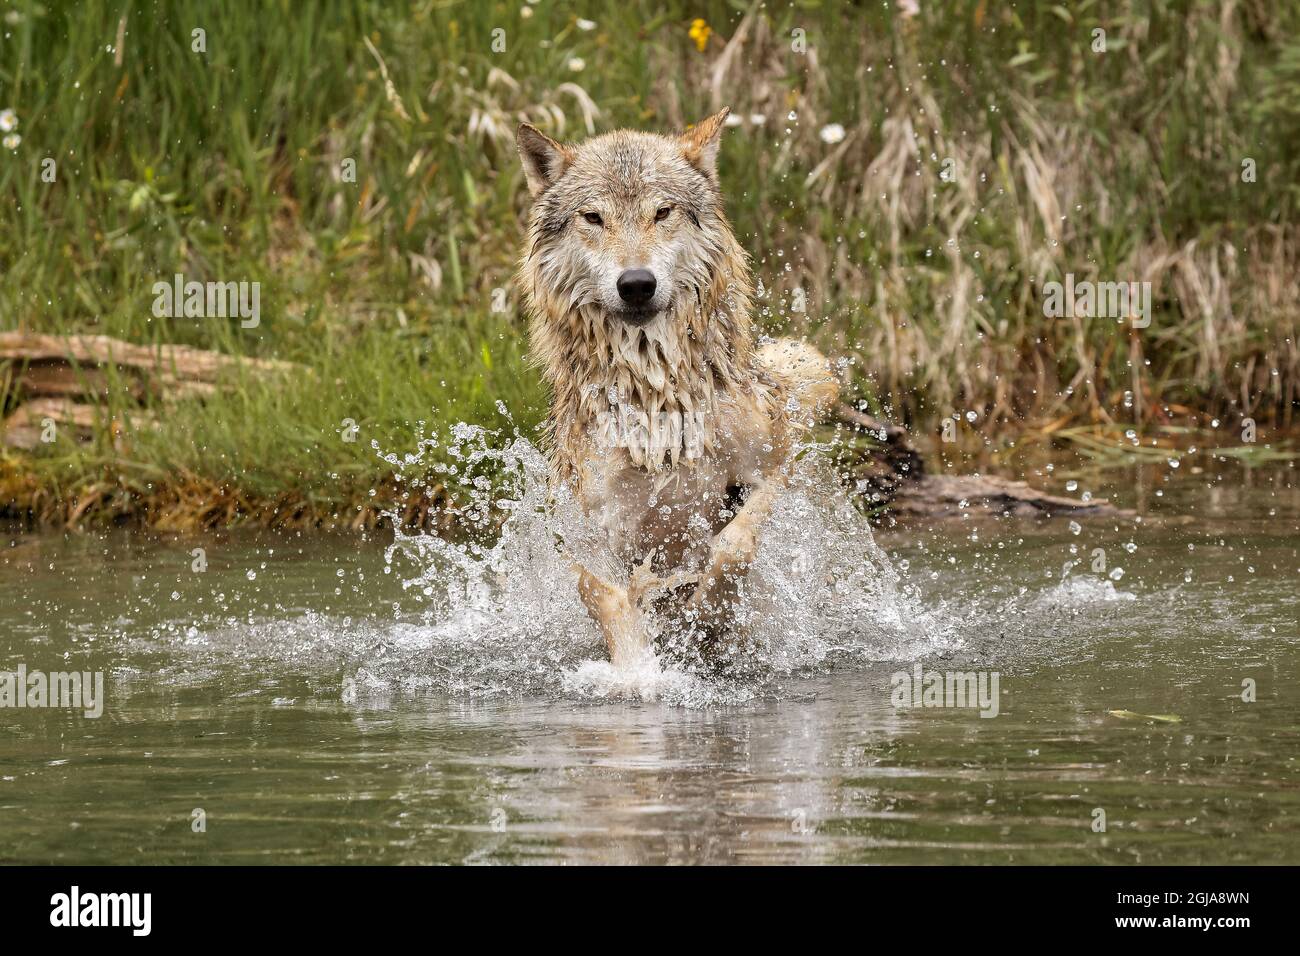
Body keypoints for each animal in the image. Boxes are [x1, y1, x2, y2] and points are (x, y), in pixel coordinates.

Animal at [516, 108, 838, 668]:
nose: (636, 283)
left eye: (662, 212)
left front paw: (706, 616)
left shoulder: (771, 469)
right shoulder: (591, 526)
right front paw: (636, 671)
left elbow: (732, 550)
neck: (656, 396)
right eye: (593, 218)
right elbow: (605, 594)